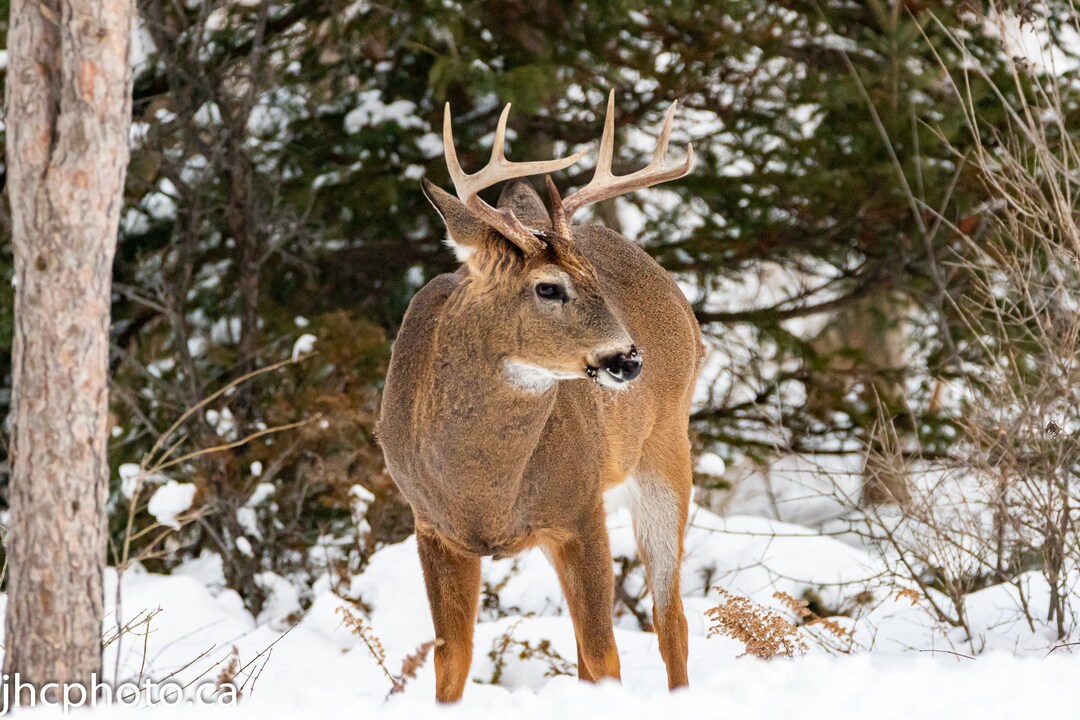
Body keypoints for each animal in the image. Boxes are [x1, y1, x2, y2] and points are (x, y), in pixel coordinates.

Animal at [378, 91, 702, 702]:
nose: (629, 358)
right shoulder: (431, 527)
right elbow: (450, 663)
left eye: (595, 280)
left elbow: (606, 655)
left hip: (665, 449)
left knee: (669, 618)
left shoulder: (579, 509)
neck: (483, 491)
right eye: (548, 288)